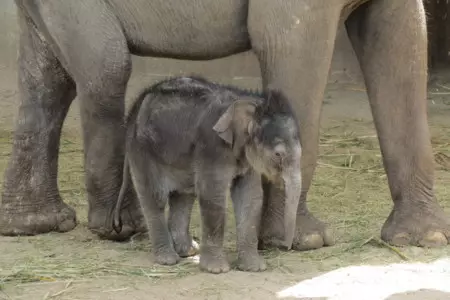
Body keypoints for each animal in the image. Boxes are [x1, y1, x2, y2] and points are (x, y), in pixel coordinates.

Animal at [0, 0, 446, 251]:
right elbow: (289, 40)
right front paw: (300, 242)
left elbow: (403, 38)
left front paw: (425, 240)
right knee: (106, 70)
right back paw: (123, 228)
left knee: (48, 80)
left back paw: (35, 224)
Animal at [112, 75, 302, 274]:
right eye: (278, 154)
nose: (285, 246)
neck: (248, 101)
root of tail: (133, 109)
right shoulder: (212, 147)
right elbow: (213, 195)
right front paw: (217, 270)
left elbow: (250, 197)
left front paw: (255, 268)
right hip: (142, 150)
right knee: (155, 198)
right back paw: (167, 259)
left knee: (184, 195)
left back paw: (187, 251)